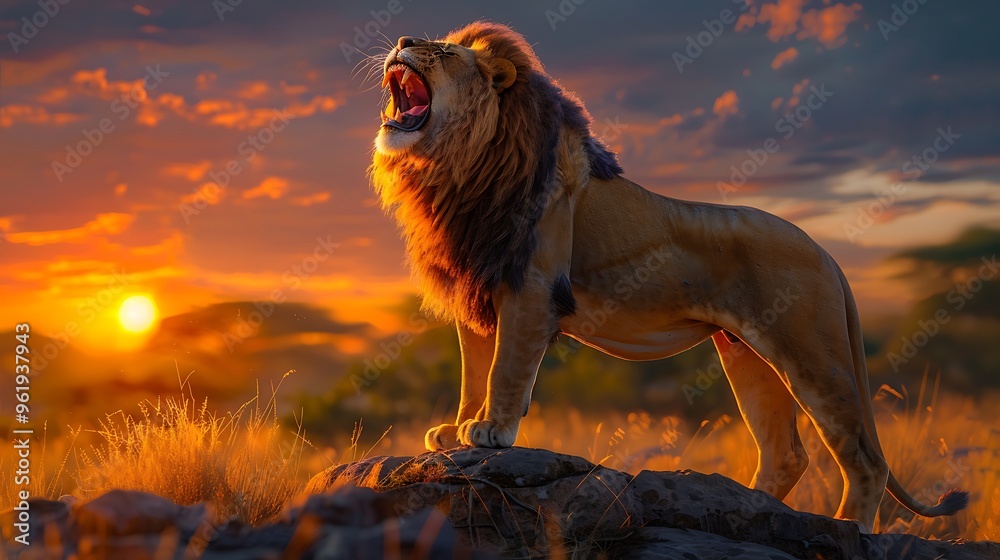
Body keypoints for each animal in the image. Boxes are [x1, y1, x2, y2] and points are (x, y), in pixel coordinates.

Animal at [368, 21, 968, 532]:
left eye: (445, 53)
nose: (403, 39)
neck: (456, 165)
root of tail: (824, 250)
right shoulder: (481, 285)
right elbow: (473, 373)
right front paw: (457, 431)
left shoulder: (531, 284)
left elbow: (505, 370)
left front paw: (493, 431)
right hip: (749, 357)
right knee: (786, 454)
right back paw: (752, 511)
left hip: (812, 354)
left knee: (864, 457)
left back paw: (846, 528)